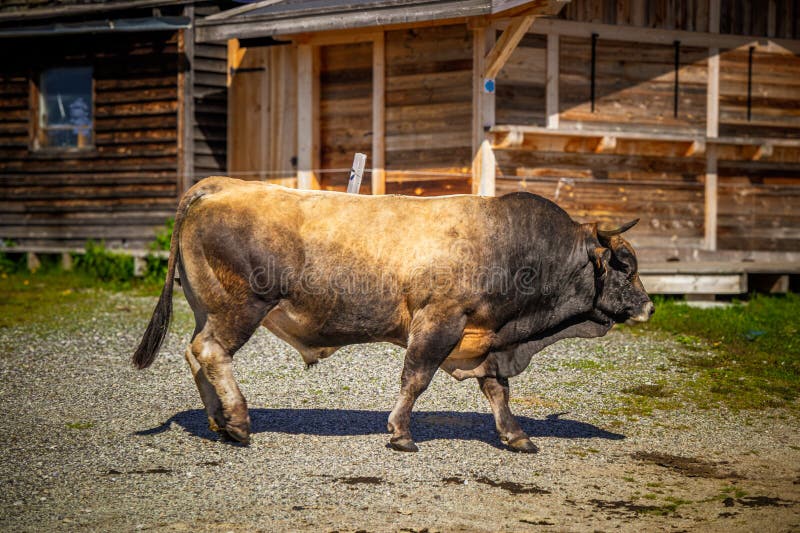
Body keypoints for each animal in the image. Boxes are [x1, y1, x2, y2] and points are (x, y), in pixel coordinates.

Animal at [133, 176, 653, 453]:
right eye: (625, 265)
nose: (649, 306)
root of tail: (220, 186)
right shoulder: (439, 321)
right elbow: (416, 378)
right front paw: (401, 432)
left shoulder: (485, 338)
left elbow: (497, 391)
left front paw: (516, 436)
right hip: (241, 308)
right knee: (210, 352)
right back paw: (238, 422)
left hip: (208, 307)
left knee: (195, 354)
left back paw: (218, 421)